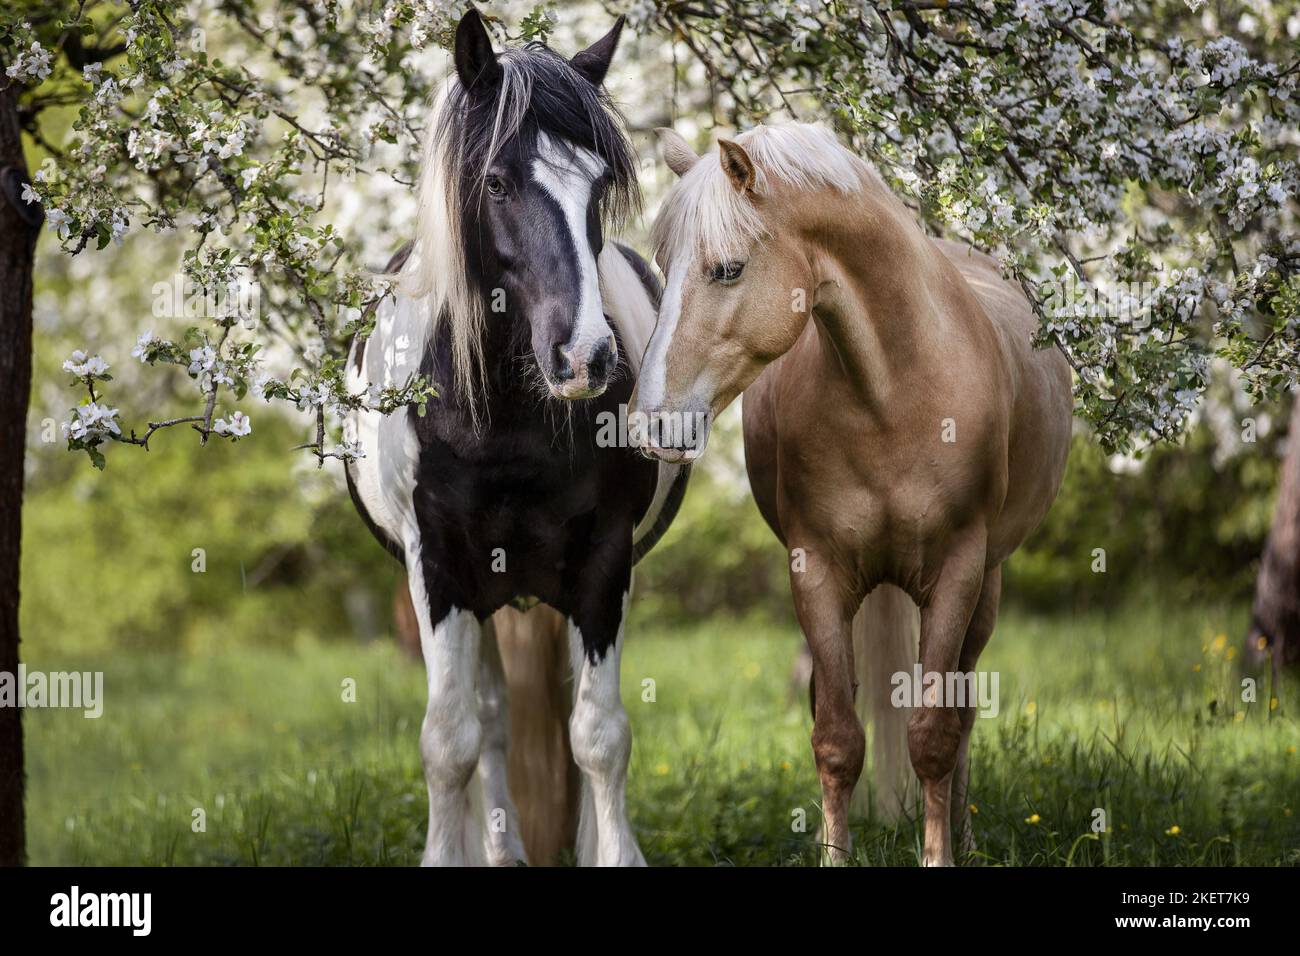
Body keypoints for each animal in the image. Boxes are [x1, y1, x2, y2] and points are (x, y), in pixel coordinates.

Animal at [344, 10, 687, 867]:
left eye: (599, 185)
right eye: (496, 181)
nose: (588, 356)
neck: (501, 418)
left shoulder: (605, 558)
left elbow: (600, 736)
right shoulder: (437, 565)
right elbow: (450, 743)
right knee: (490, 727)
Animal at [632, 122, 1072, 866]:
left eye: (728, 270)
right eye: (663, 270)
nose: (650, 423)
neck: (893, 391)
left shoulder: (957, 572)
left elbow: (934, 734)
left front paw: (940, 854)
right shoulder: (816, 572)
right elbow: (837, 739)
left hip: (987, 587)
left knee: (964, 711)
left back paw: (966, 834)